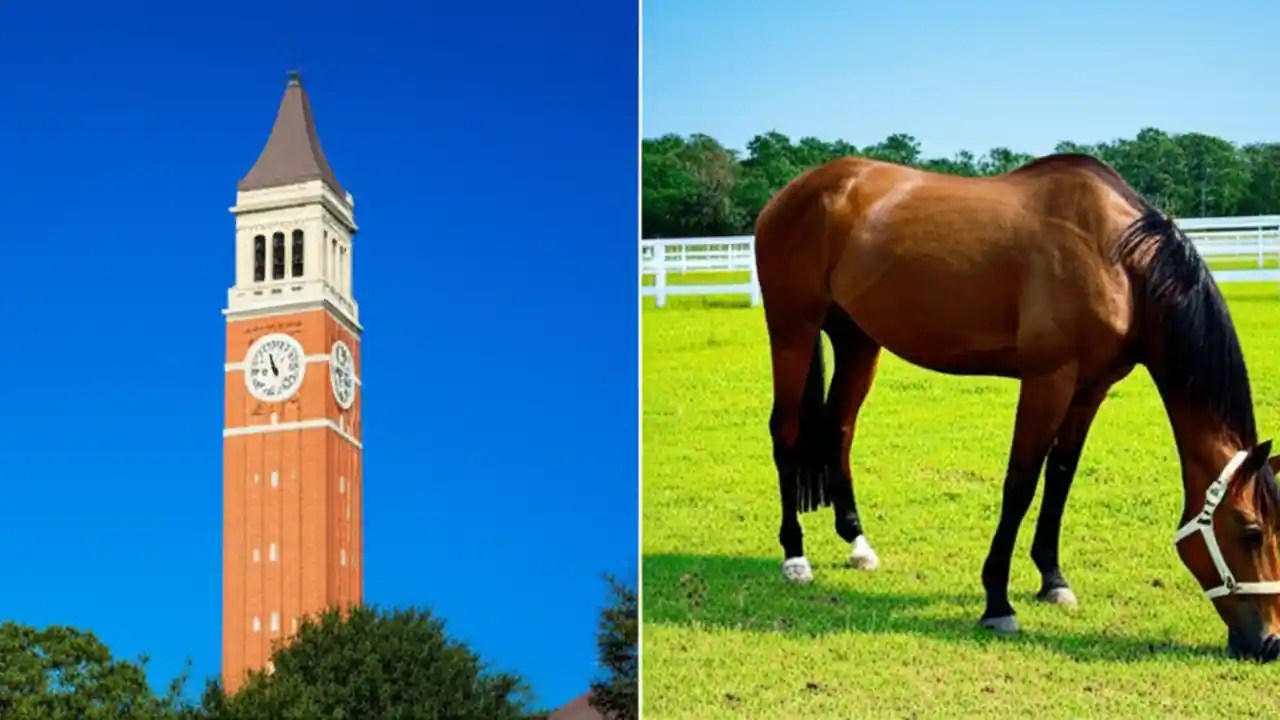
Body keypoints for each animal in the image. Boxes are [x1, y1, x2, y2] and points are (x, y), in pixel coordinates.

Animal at [753, 152, 1280, 661]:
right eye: (1251, 530)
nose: (1269, 642)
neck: (1117, 259)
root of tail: (797, 191)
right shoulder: (1048, 380)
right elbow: (1021, 483)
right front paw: (997, 602)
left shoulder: (1091, 387)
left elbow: (1061, 476)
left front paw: (1053, 580)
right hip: (793, 329)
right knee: (785, 432)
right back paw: (795, 555)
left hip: (858, 339)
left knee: (840, 429)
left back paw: (858, 543)